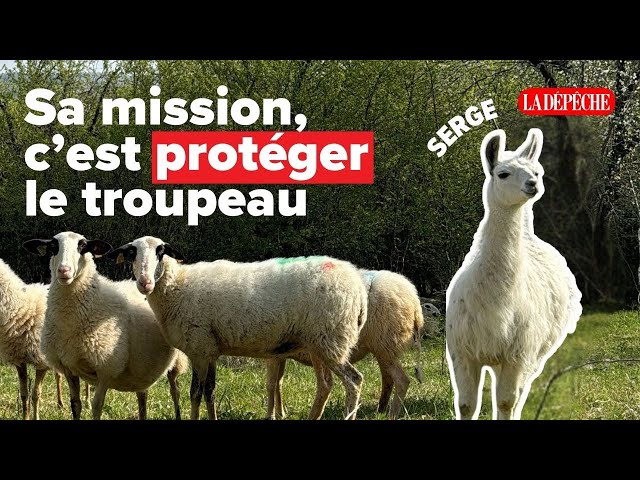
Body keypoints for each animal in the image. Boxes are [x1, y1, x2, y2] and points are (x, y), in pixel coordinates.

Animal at [0, 258, 66, 419]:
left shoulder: (41, 360)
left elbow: (36, 394)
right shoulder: (19, 359)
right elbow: (24, 395)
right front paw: (25, 416)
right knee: (59, 375)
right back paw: (60, 404)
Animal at [23, 232, 189, 420]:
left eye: (82, 246)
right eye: (53, 247)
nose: (64, 271)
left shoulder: (106, 367)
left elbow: (97, 406)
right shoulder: (68, 367)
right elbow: (75, 404)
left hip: (177, 360)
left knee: (175, 391)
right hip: (141, 365)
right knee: (142, 395)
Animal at [107, 238, 368, 420]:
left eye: (160, 252)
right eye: (131, 253)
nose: (144, 283)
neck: (177, 286)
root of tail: (359, 288)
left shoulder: (199, 347)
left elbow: (195, 393)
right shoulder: (210, 349)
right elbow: (210, 391)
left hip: (331, 338)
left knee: (353, 381)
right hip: (320, 343)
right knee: (325, 386)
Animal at [265, 269, 425, 419]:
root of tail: (414, 301)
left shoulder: (273, 353)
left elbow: (271, 384)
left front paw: (272, 414)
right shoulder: (280, 354)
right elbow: (279, 382)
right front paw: (281, 413)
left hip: (382, 344)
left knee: (401, 380)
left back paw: (391, 414)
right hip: (383, 349)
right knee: (388, 378)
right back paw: (380, 410)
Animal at [445, 128, 582, 420]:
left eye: (537, 172)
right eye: (503, 173)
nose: (533, 185)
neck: (497, 302)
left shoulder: (518, 353)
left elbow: (506, 402)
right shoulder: (462, 351)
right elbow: (466, 404)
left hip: (537, 349)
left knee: (518, 392)